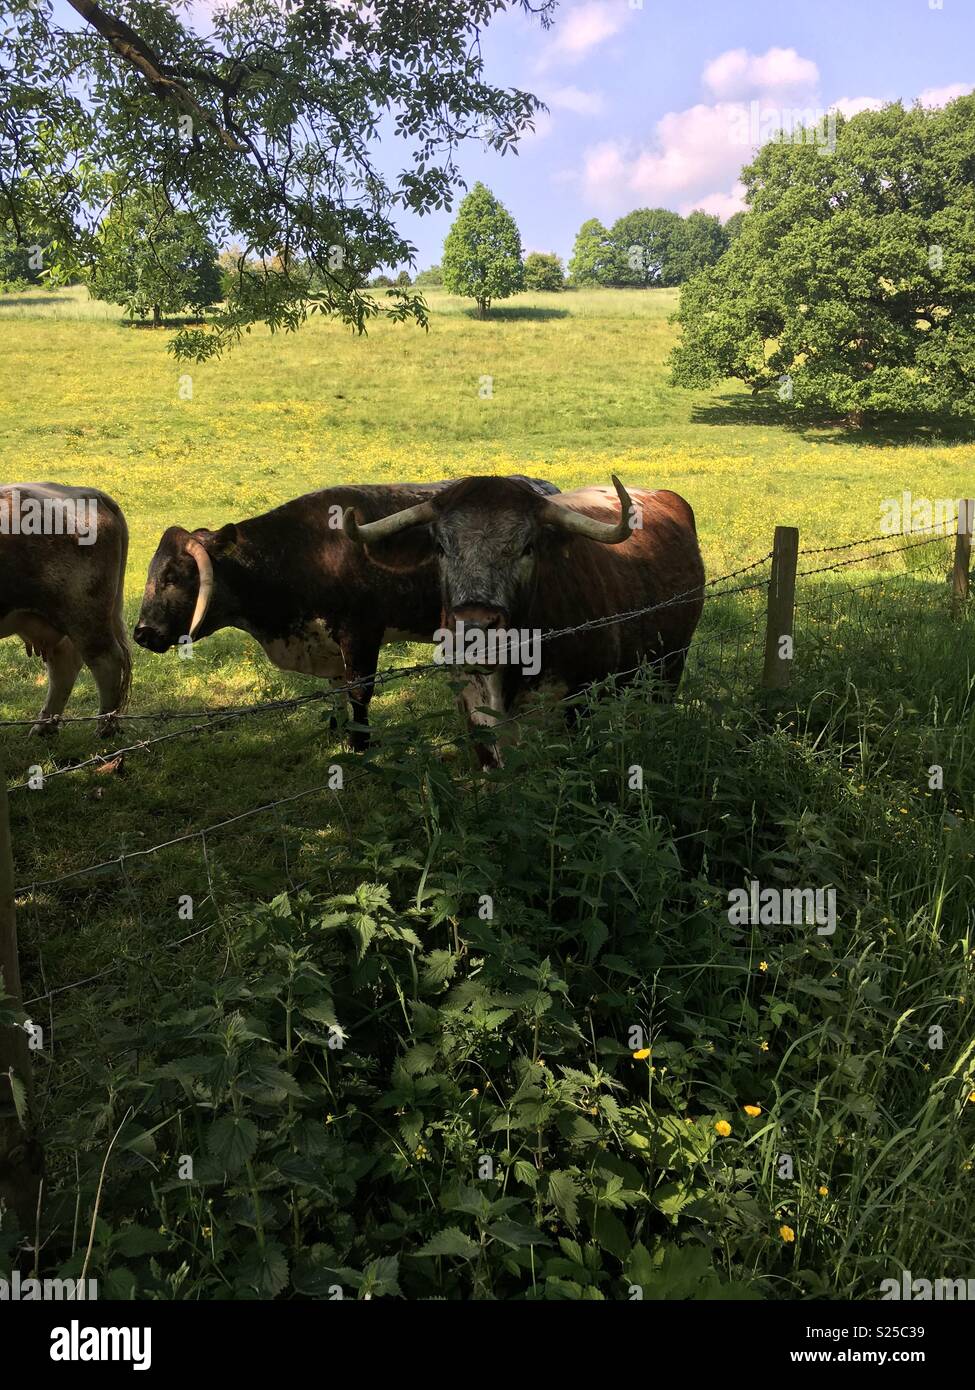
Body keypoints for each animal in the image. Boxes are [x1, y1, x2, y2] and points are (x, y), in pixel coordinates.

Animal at [0, 482, 131, 736]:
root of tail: (85, 491)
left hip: (84, 614)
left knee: (106, 660)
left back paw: (105, 726)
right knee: (65, 664)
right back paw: (44, 727)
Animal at [133, 478, 559, 749]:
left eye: (174, 576)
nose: (141, 633)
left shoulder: (361, 634)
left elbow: (358, 691)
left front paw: (359, 742)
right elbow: (335, 690)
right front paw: (336, 730)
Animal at [342, 474, 705, 764]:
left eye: (527, 547)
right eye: (441, 548)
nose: (475, 628)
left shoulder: (580, 708)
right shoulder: (473, 715)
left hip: (672, 661)